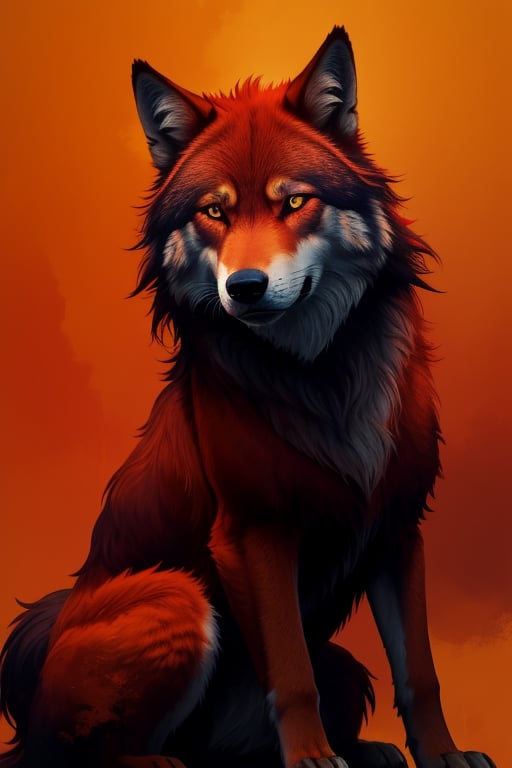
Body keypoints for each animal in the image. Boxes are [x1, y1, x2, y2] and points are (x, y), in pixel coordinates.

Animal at [0, 25, 496, 768]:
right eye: (215, 211)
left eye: (294, 201)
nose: (246, 287)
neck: (323, 376)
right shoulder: (254, 532)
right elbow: (289, 674)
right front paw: (313, 759)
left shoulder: (398, 528)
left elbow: (420, 672)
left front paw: (441, 755)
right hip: (179, 595)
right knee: (79, 752)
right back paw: (161, 761)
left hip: (344, 662)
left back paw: (365, 750)